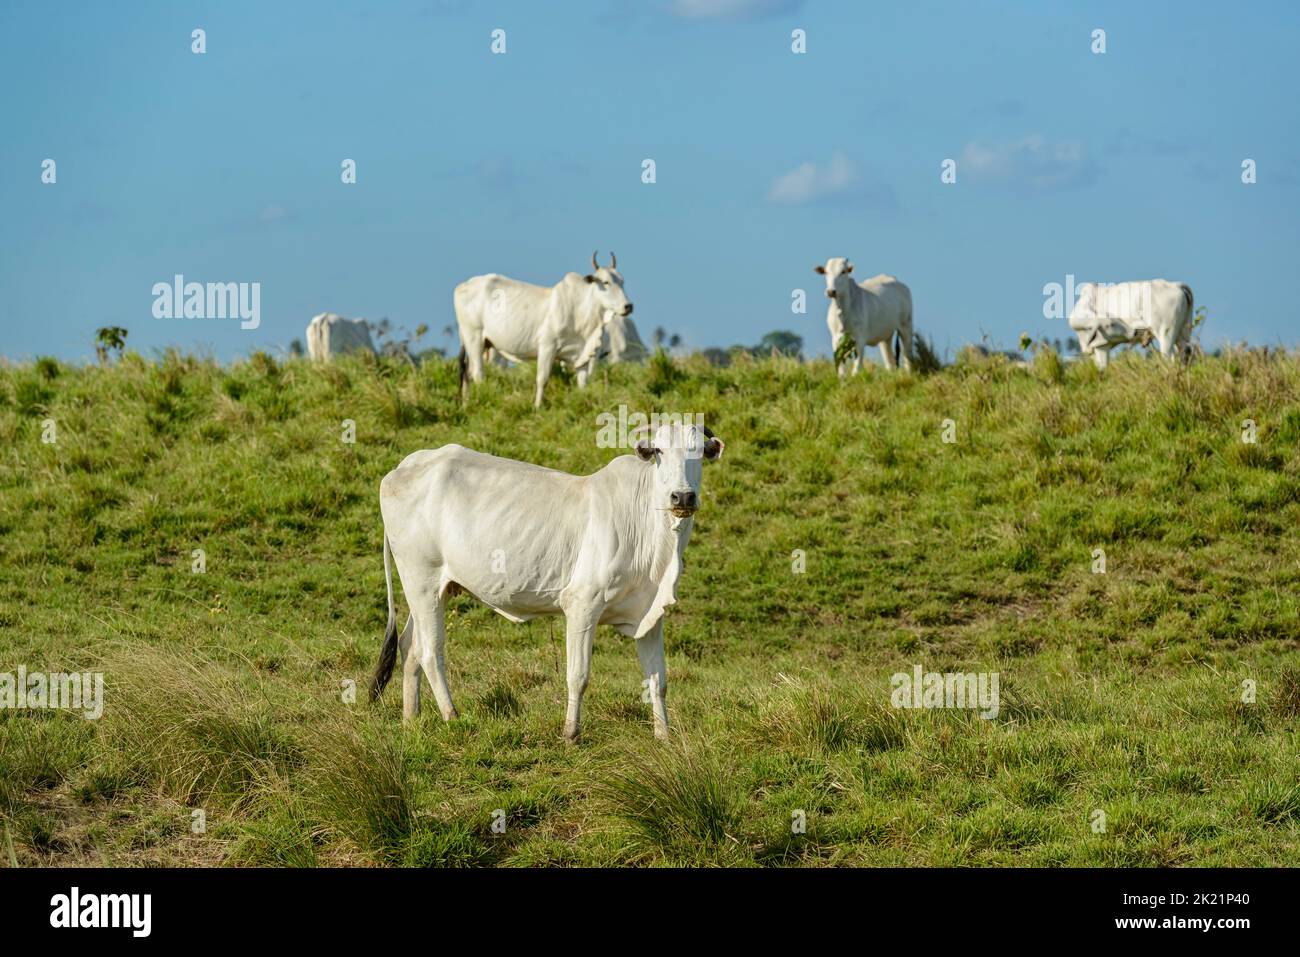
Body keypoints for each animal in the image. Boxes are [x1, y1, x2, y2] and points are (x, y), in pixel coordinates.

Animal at [369, 420, 725, 744]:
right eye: (659, 450)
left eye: (698, 451)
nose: (682, 496)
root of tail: (404, 466)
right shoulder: (582, 604)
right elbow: (578, 676)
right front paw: (571, 733)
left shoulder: (650, 614)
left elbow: (658, 680)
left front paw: (663, 736)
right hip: (422, 579)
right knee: (430, 651)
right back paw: (451, 715)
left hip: (430, 589)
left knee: (410, 646)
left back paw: (411, 720)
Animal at [455, 252, 635, 406]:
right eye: (606, 282)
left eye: (622, 281)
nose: (628, 306)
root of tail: (463, 286)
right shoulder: (547, 346)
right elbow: (542, 379)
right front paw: (537, 407)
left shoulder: (582, 354)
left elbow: (582, 382)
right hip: (474, 337)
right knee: (477, 374)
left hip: (480, 342)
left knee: (467, 374)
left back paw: (465, 404)